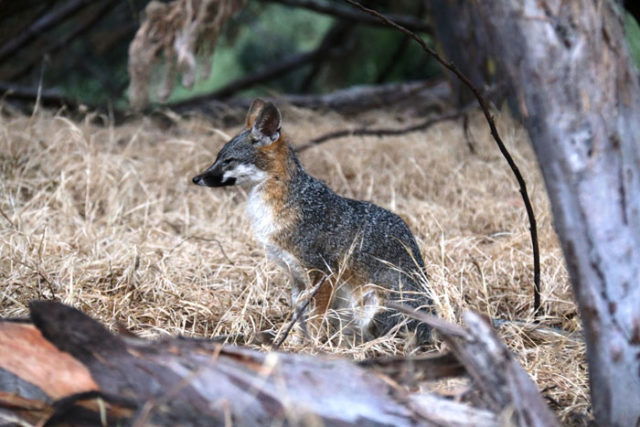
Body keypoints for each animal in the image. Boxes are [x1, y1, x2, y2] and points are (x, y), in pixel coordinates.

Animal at [192, 99, 433, 343]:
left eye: (228, 161)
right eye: (217, 158)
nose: (196, 178)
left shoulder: (323, 273)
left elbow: (316, 317)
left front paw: (310, 345)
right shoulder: (296, 278)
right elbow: (300, 317)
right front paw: (295, 341)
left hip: (370, 305)